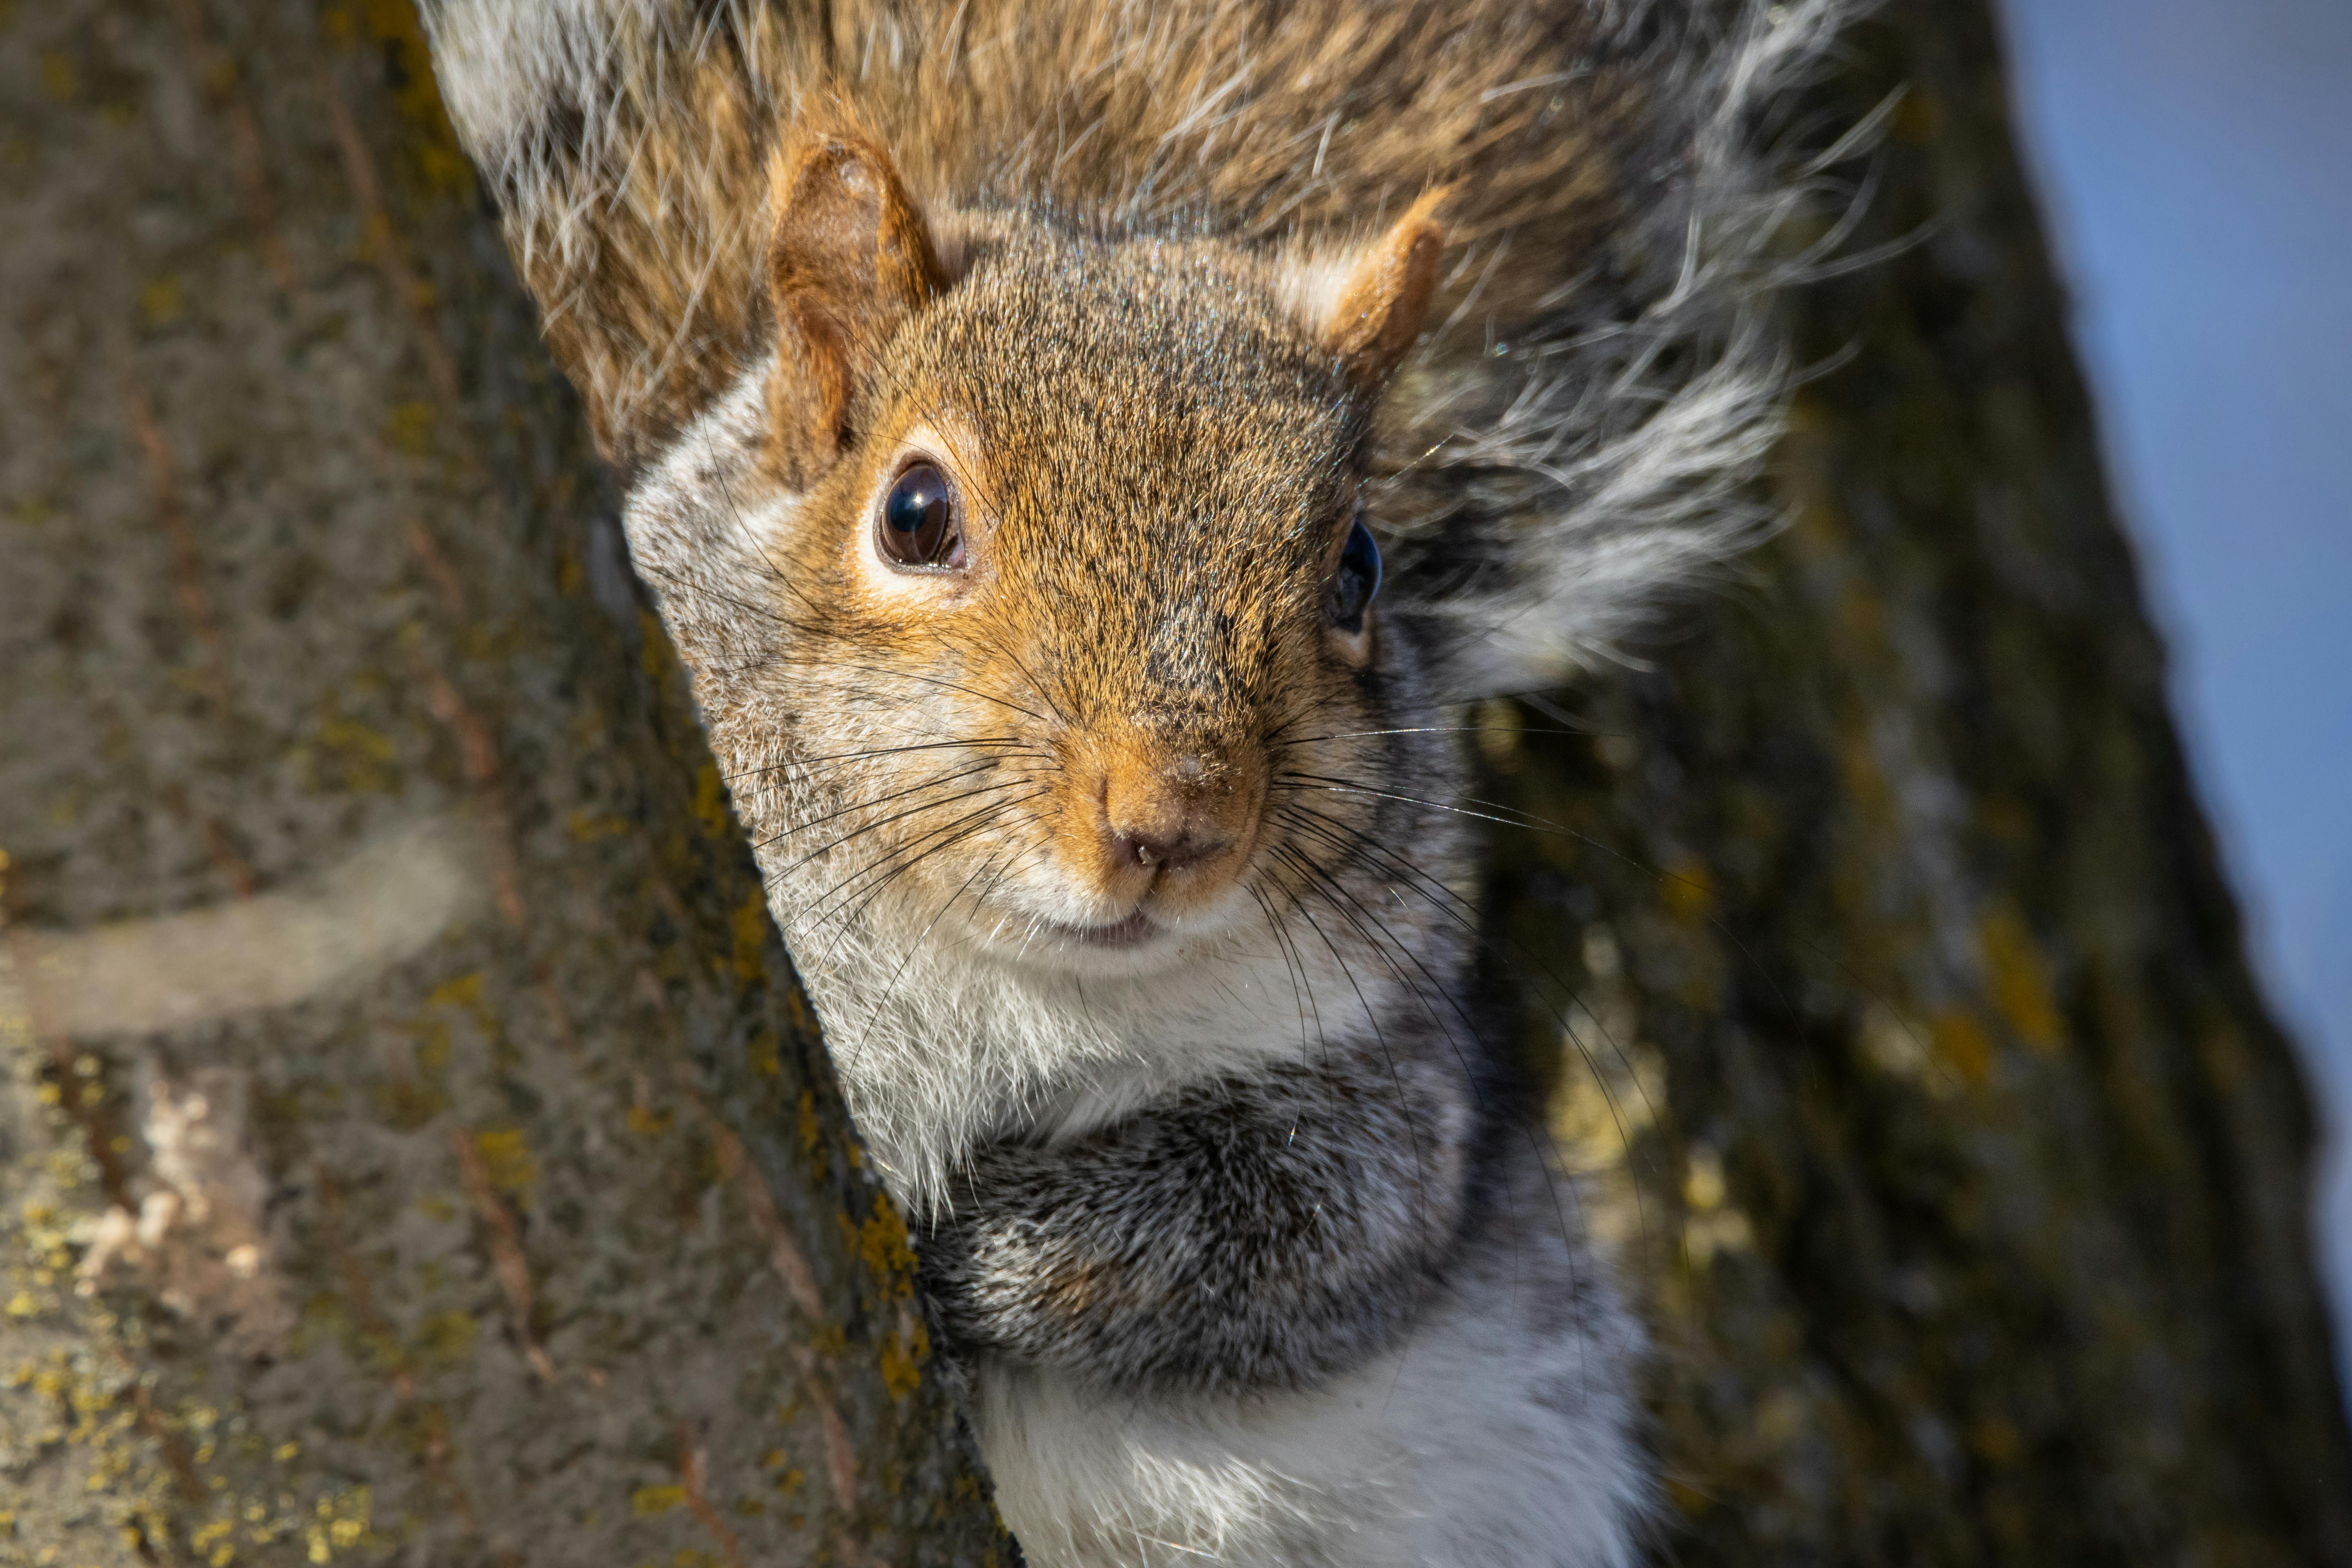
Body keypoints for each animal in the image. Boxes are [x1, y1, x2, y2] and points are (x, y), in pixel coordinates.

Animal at [425, 3, 1859, 1562]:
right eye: (912, 513)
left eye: (1359, 568)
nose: (1176, 819)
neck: (1004, 985)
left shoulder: (1392, 1093)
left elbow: (1293, 1237)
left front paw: (982, 1257)